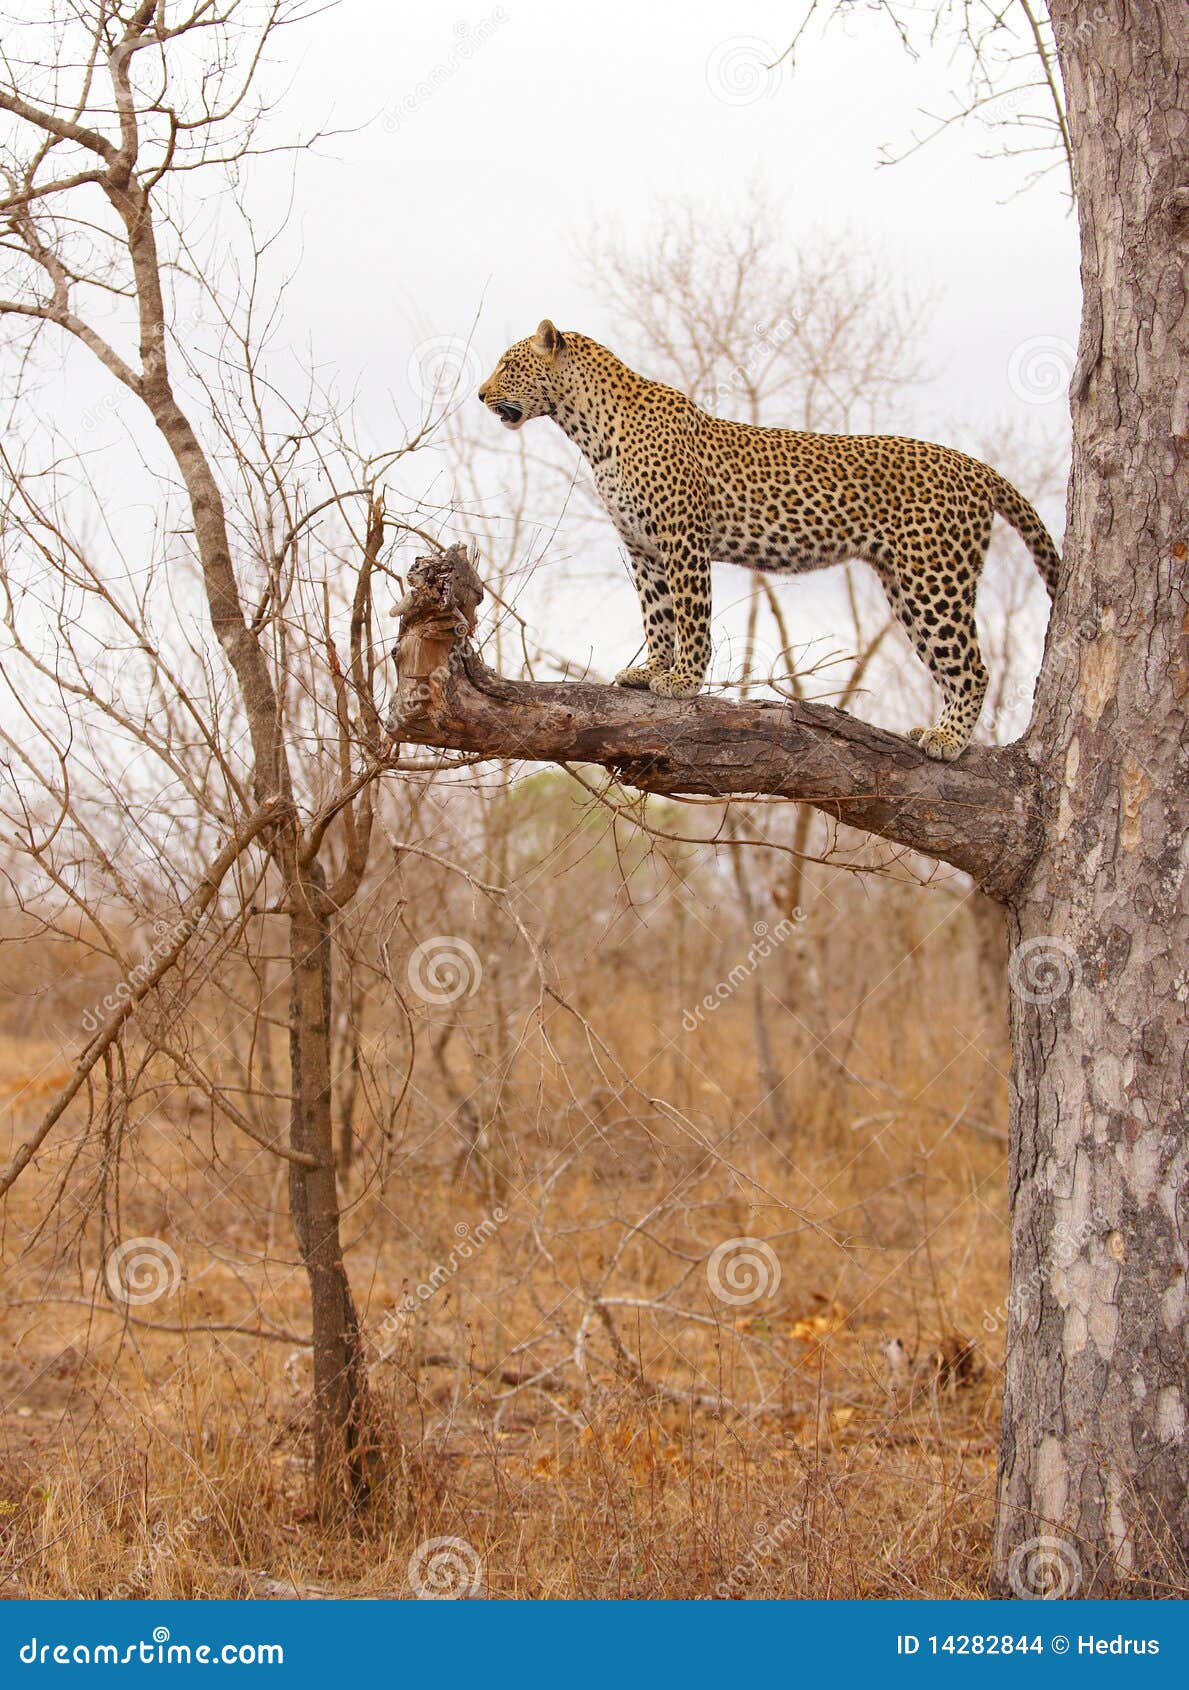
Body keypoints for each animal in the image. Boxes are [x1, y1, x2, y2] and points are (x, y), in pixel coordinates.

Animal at [477, 320, 1060, 760]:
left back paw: (950, 741)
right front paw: (652, 671)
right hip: (905, 583)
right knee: (950, 665)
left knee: (973, 668)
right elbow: (657, 615)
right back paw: (936, 730)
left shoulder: (683, 538)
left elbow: (690, 616)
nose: (480, 395)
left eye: (507, 364)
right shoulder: (643, 548)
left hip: (934, 578)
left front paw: (684, 680)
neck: (588, 429)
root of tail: (975, 465)